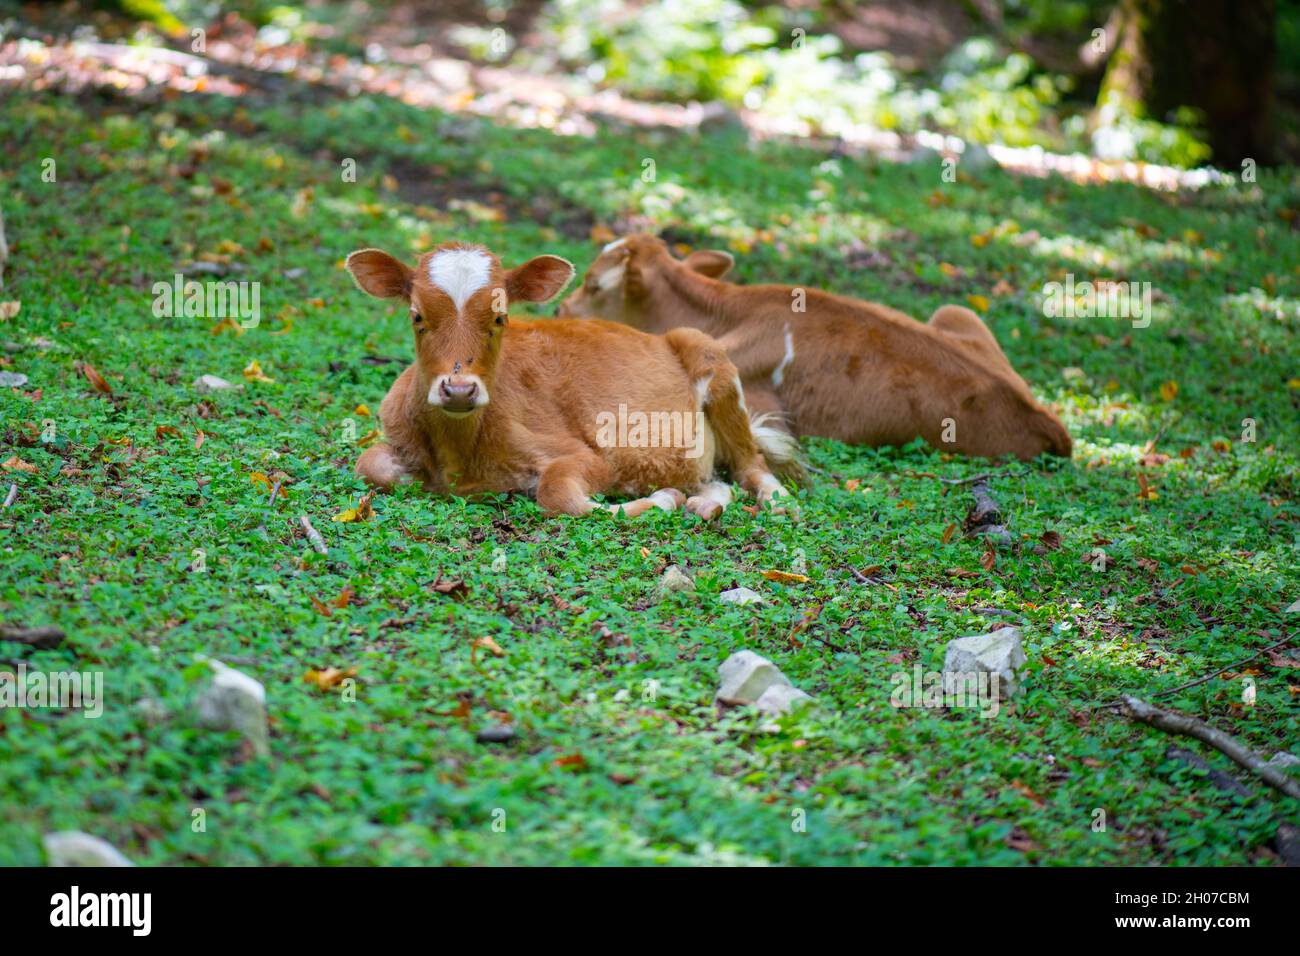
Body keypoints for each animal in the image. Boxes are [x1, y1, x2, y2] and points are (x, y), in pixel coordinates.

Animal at [344, 240, 796, 520]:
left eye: (500, 317)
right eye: (416, 315)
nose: (458, 389)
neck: (459, 458)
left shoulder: (587, 456)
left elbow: (558, 493)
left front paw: (663, 498)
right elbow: (369, 466)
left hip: (711, 356)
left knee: (752, 465)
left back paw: (778, 503)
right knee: (718, 481)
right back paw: (704, 504)